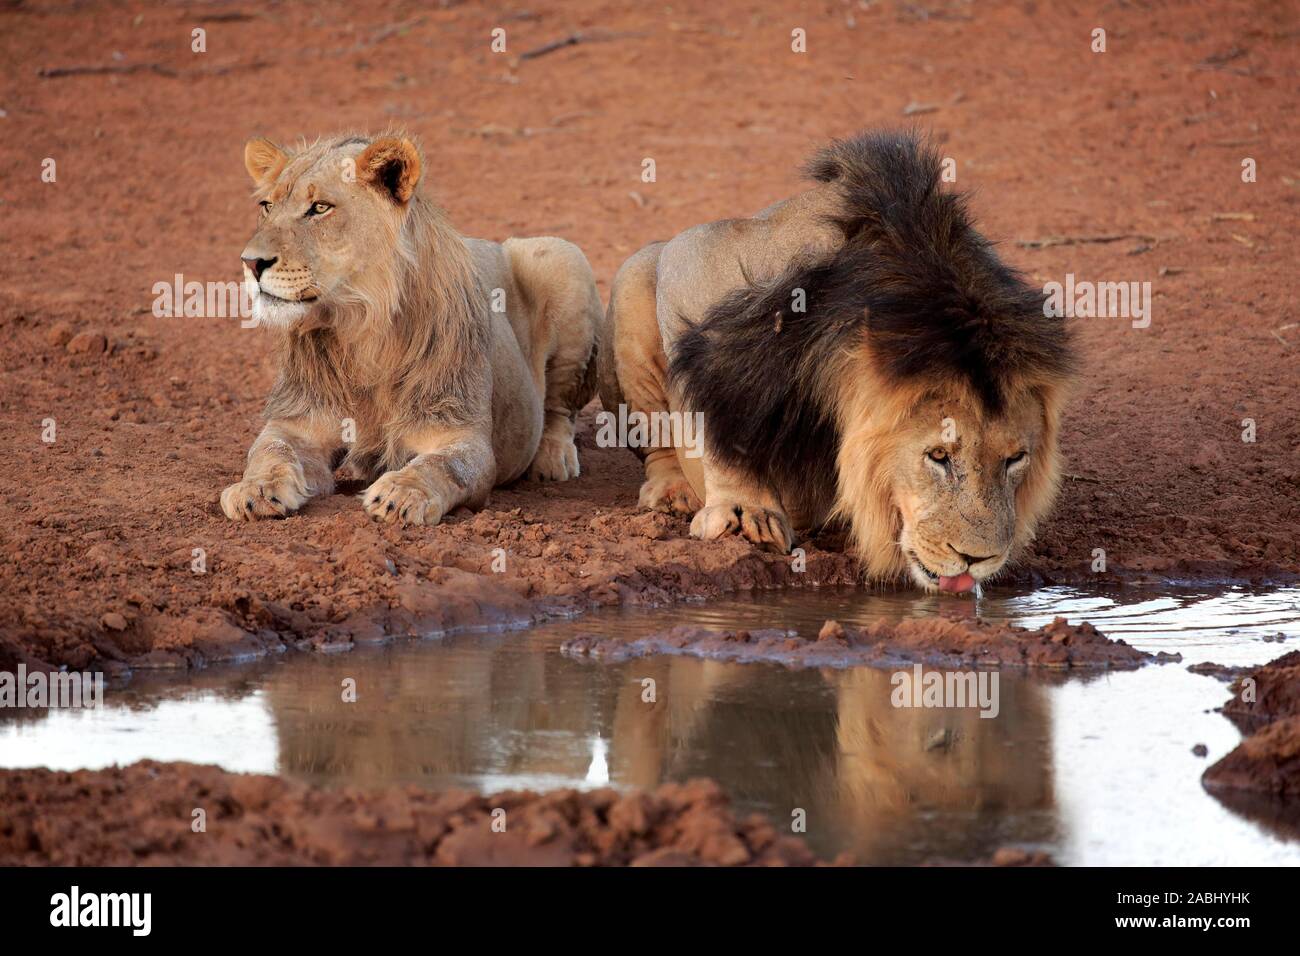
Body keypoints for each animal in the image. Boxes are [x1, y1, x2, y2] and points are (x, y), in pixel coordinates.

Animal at [221, 132, 601, 526]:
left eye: (320, 208)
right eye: (267, 205)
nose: (250, 262)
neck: (361, 330)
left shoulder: (460, 432)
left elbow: (445, 466)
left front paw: (400, 493)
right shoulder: (297, 422)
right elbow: (269, 449)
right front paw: (255, 489)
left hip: (561, 257)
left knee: (560, 409)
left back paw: (553, 460)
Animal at [597, 131, 1076, 592]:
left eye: (1015, 458)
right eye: (938, 455)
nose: (979, 559)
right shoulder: (700, 255)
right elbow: (716, 416)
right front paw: (746, 511)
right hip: (635, 278)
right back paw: (672, 491)